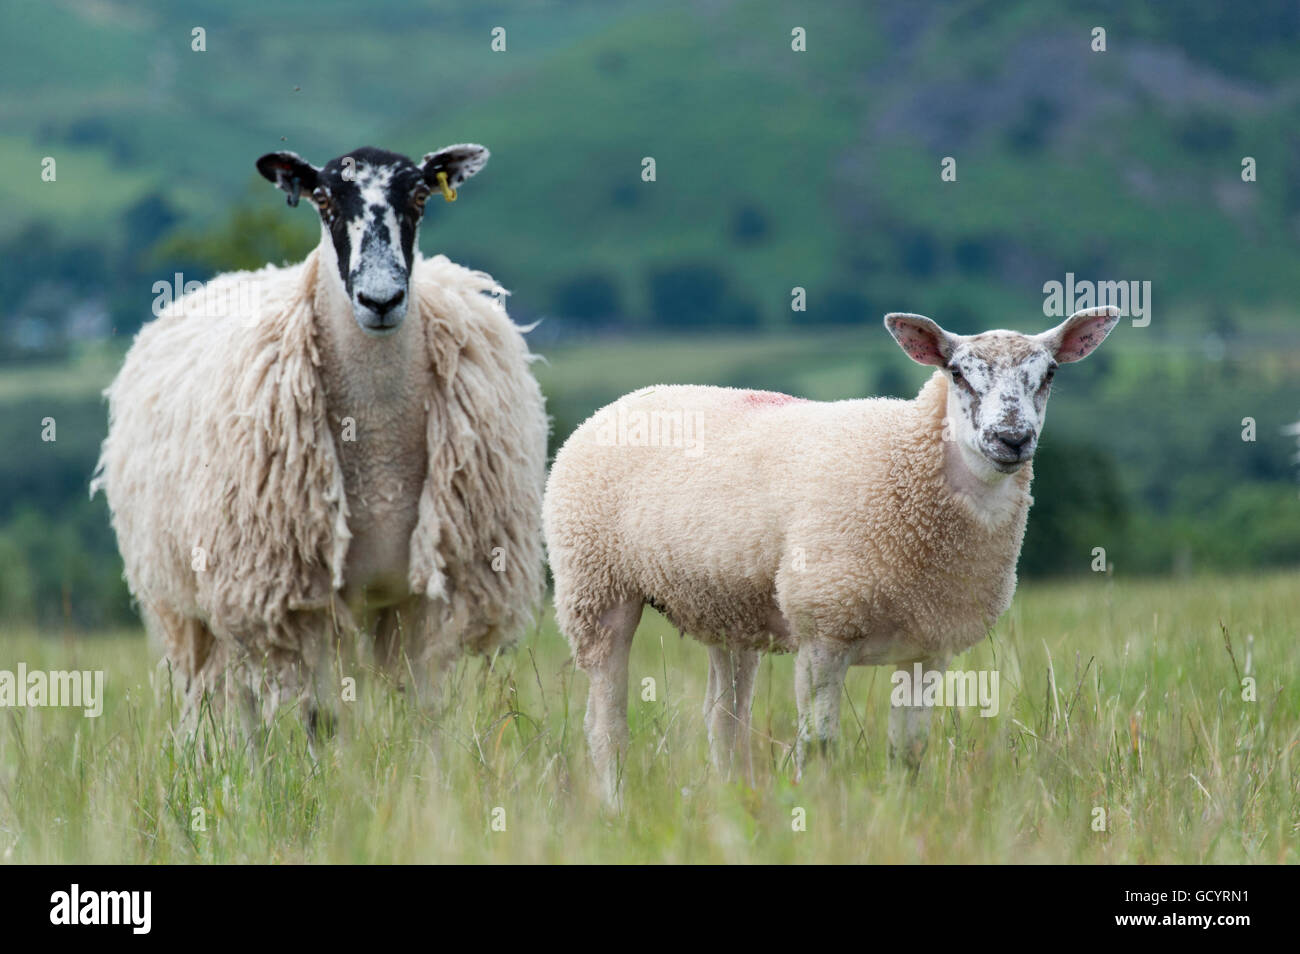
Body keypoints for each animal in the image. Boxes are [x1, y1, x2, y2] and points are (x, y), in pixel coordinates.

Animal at [92, 144, 547, 729]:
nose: (381, 299)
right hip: (202, 600)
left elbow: (425, 712)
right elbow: (322, 718)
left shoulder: (422, 593)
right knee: (229, 697)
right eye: (325, 200)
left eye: (421, 195)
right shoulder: (303, 597)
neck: (379, 454)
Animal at [544, 306, 1119, 801]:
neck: (909, 467)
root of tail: (621, 401)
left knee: (723, 720)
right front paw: (817, 811)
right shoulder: (824, 630)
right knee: (606, 725)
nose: (1012, 438)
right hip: (595, 586)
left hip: (726, 607)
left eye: (1048, 375)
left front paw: (901, 812)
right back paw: (616, 804)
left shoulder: (928, 647)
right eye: (957, 374)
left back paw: (732, 796)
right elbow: (819, 748)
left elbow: (908, 753)